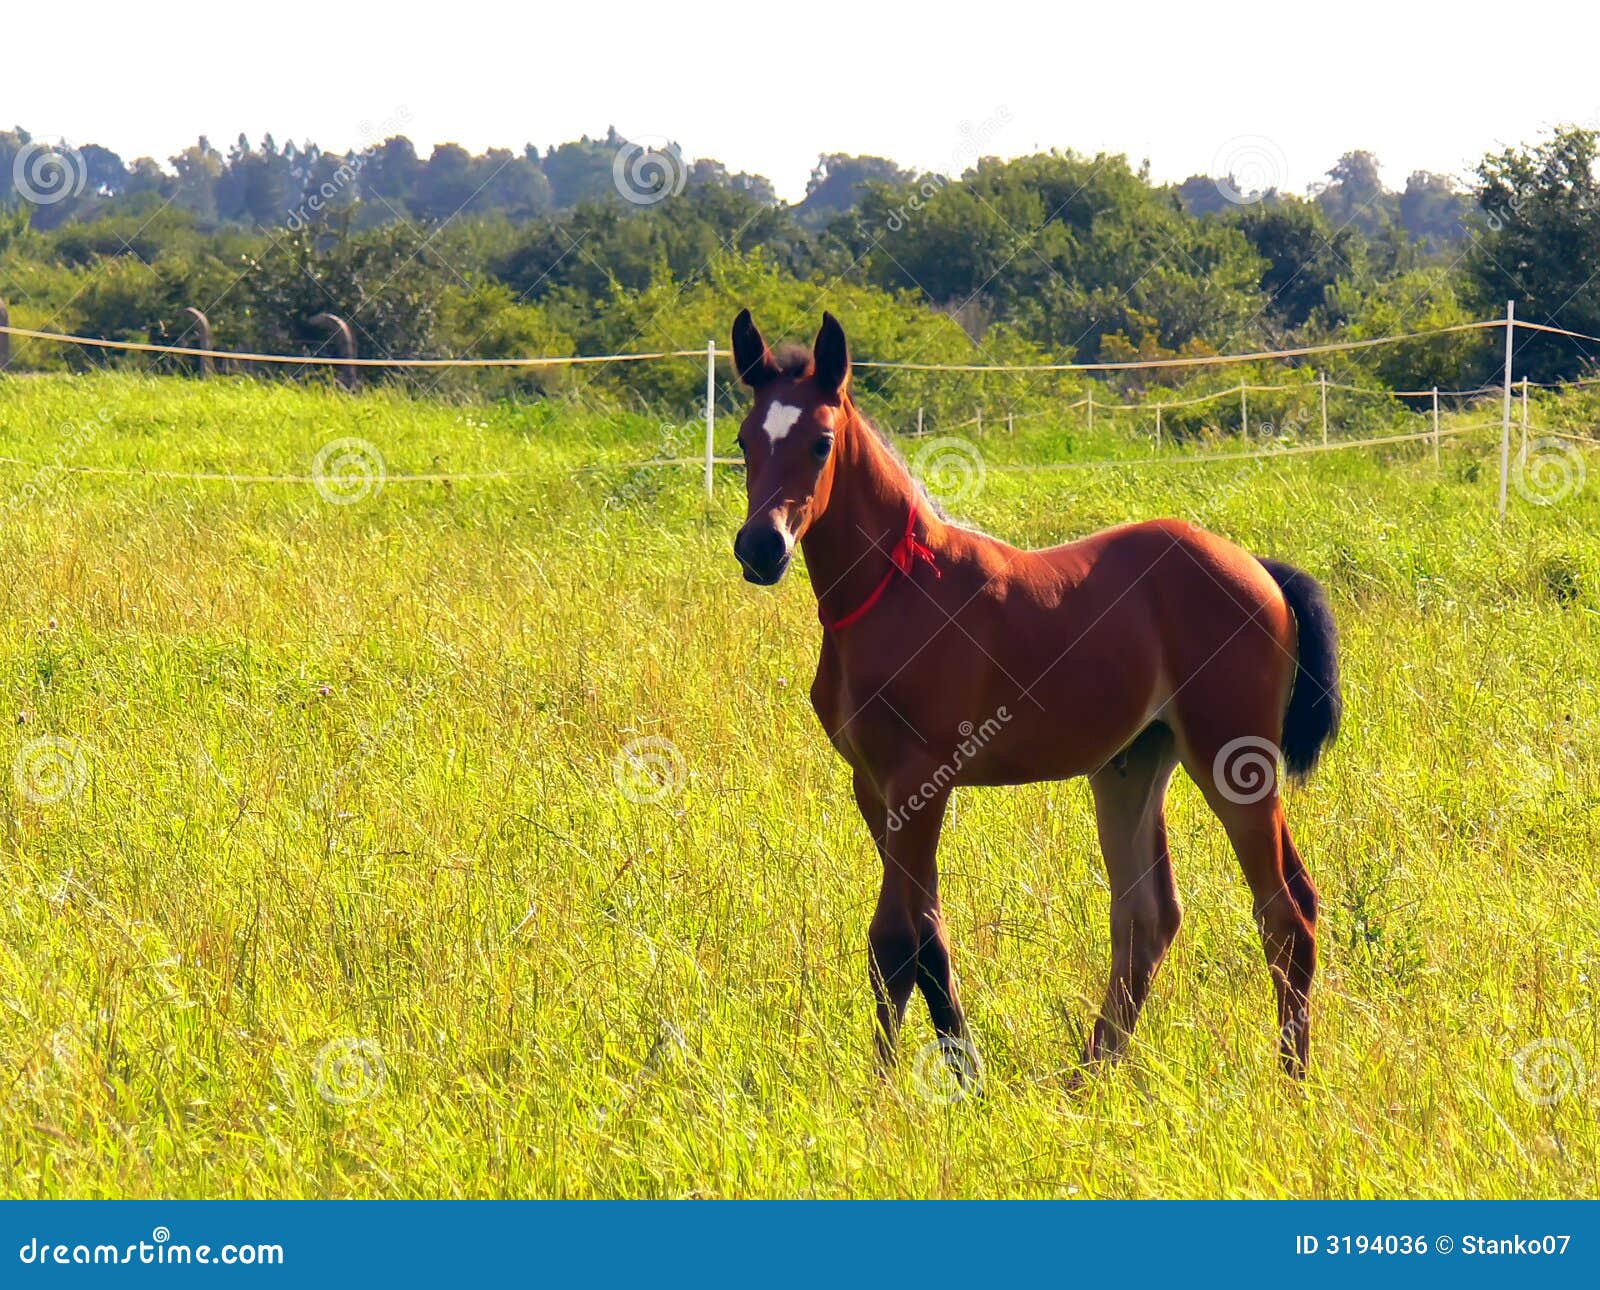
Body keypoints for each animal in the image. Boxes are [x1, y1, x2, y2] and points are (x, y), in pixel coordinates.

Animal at [727, 309, 1343, 1085]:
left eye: (821, 442)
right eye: (744, 441)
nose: (760, 549)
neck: (896, 591)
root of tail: (1259, 569)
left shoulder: (921, 780)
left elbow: (896, 938)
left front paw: (888, 1087)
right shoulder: (872, 785)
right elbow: (923, 937)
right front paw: (962, 1073)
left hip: (1234, 760)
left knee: (1286, 910)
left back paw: (1291, 1078)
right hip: (1133, 765)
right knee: (1148, 916)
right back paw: (1090, 1075)